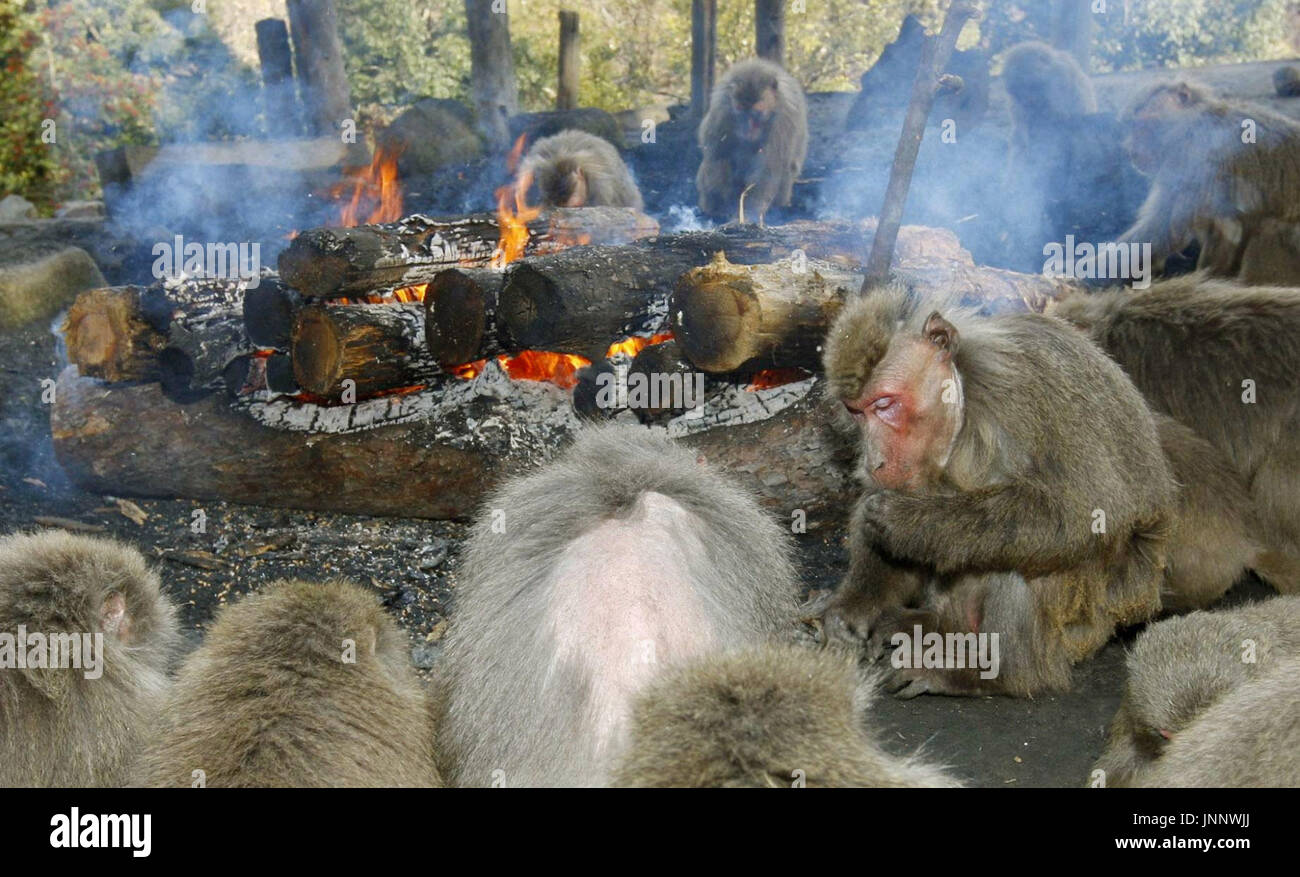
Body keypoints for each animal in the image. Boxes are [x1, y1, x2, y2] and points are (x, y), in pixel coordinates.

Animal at [696, 58, 808, 225]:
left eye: (756, 113)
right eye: (741, 111)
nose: (748, 130)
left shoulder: (784, 118)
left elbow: (769, 168)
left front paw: (748, 214)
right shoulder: (722, 108)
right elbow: (716, 155)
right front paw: (719, 208)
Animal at [818, 285, 1175, 697]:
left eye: (885, 404)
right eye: (857, 412)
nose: (873, 460)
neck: (966, 403)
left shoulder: (1022, 392)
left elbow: (1088, 510)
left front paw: (909, 521)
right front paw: (854, 609)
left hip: (1080, 625)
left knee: (1020, 556)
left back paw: (992, 674)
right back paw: (933, 627)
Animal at [1116, 80, 1300, 277]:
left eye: (1144, 126)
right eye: (1132, 127)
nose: (1130, 150)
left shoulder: (1197, 154)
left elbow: (1175, 230)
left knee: (1268, 227)